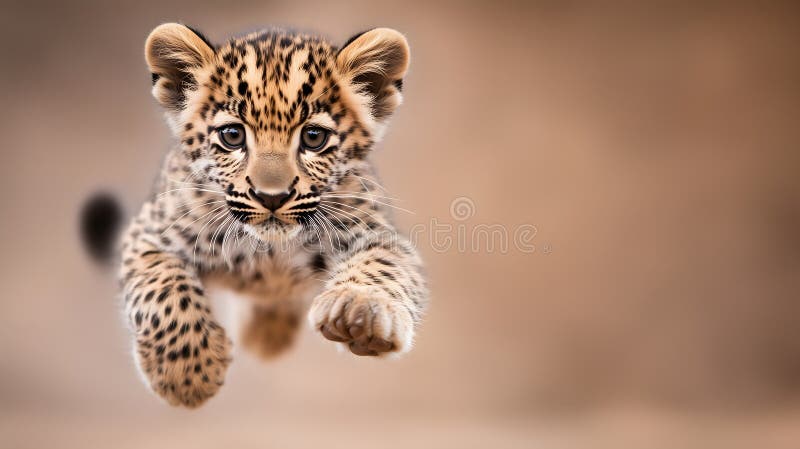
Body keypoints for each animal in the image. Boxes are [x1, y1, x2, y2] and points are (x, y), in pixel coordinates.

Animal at [82, 23, 428, 408]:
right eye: (232, 135)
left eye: (314, 137)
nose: (271, 197)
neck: (269, 253)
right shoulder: (149, 232)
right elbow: (162, 288)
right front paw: (187, 375)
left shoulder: (376, 232)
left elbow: (383, 266)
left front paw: (360, 310)